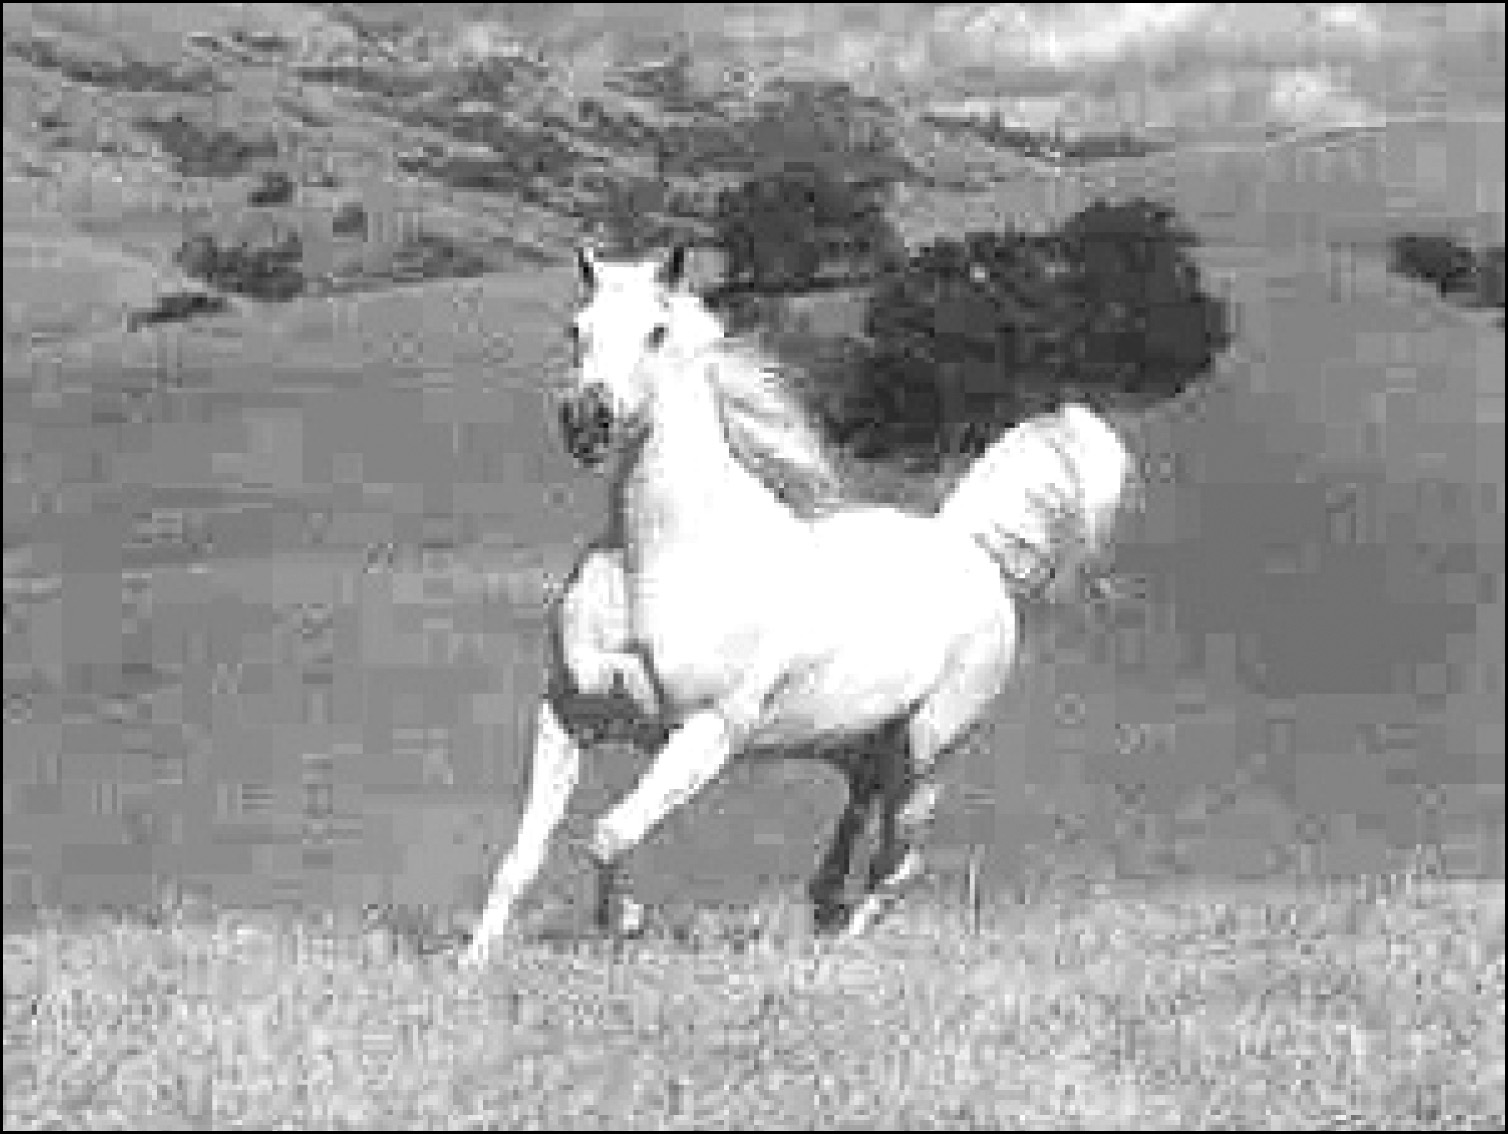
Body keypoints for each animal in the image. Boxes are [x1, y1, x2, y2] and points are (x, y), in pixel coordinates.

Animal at [462, 242, 1138, 964]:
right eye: (575, 329)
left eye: (657, 332)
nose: (587, 420)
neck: (660, 559)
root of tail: (966, 543)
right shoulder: (565, 714)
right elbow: (522, 855)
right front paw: (475, 961)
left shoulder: (707, 731)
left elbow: (610, 832)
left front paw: (627, 923)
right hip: (863, 748)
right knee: (854, 832)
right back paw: (821, 908)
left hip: (926, 750)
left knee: (899, 865)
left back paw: (840, 940)